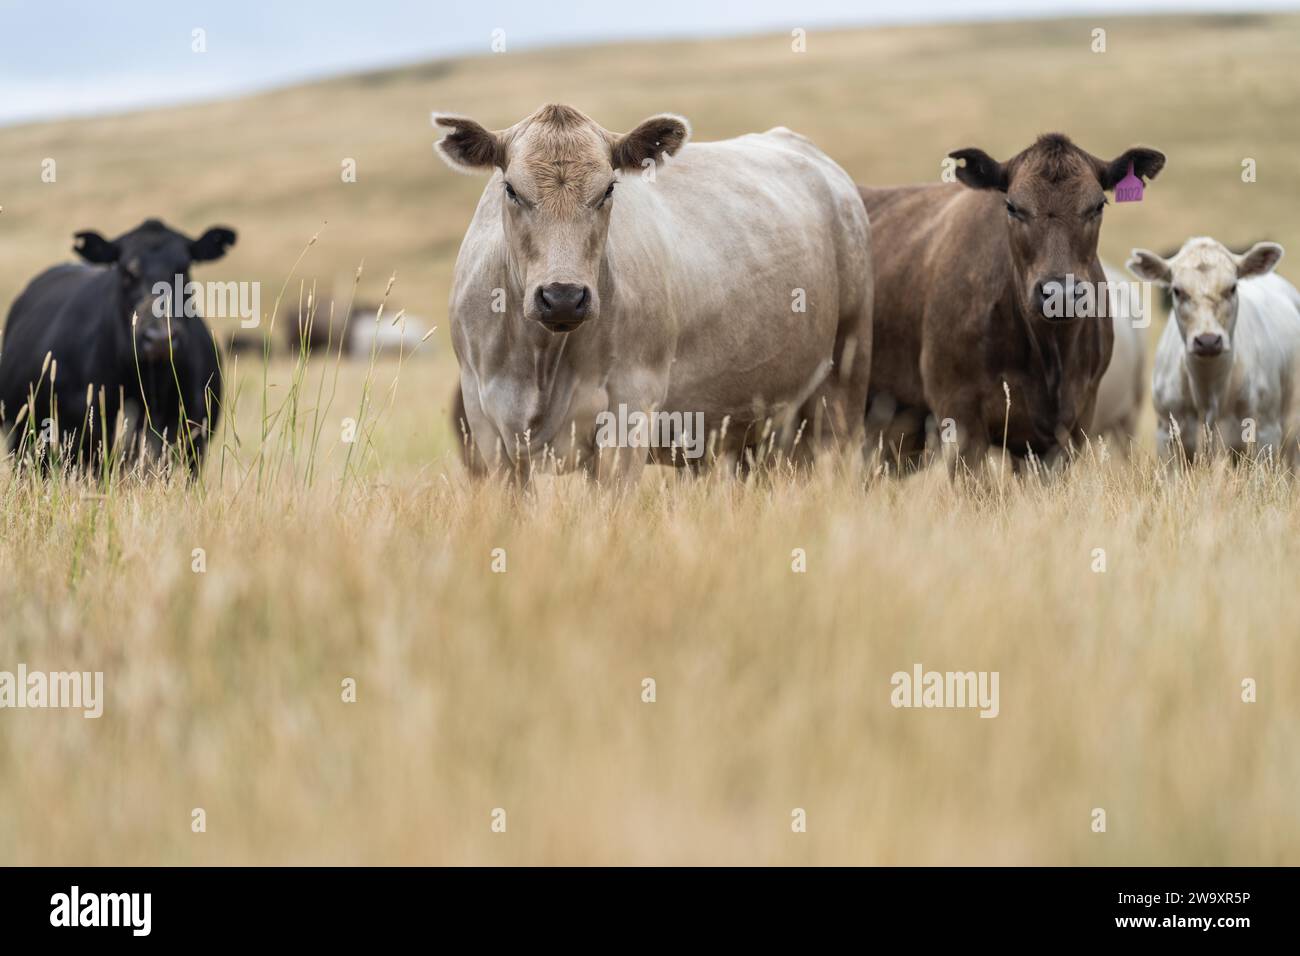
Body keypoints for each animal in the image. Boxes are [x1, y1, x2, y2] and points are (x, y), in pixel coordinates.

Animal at [434, 103, 872, 483]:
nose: (563, 297)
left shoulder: (628, 414)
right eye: (510, 189)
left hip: (843, 381)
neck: (541, 360)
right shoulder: (488, 429)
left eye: (608, 189)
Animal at [1128, 237, 1300, 465]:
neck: (1209, 390)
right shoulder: (1168, 434)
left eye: (1232, 288)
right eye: (1177, 290)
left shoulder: (1266, 432)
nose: (1208, 341)